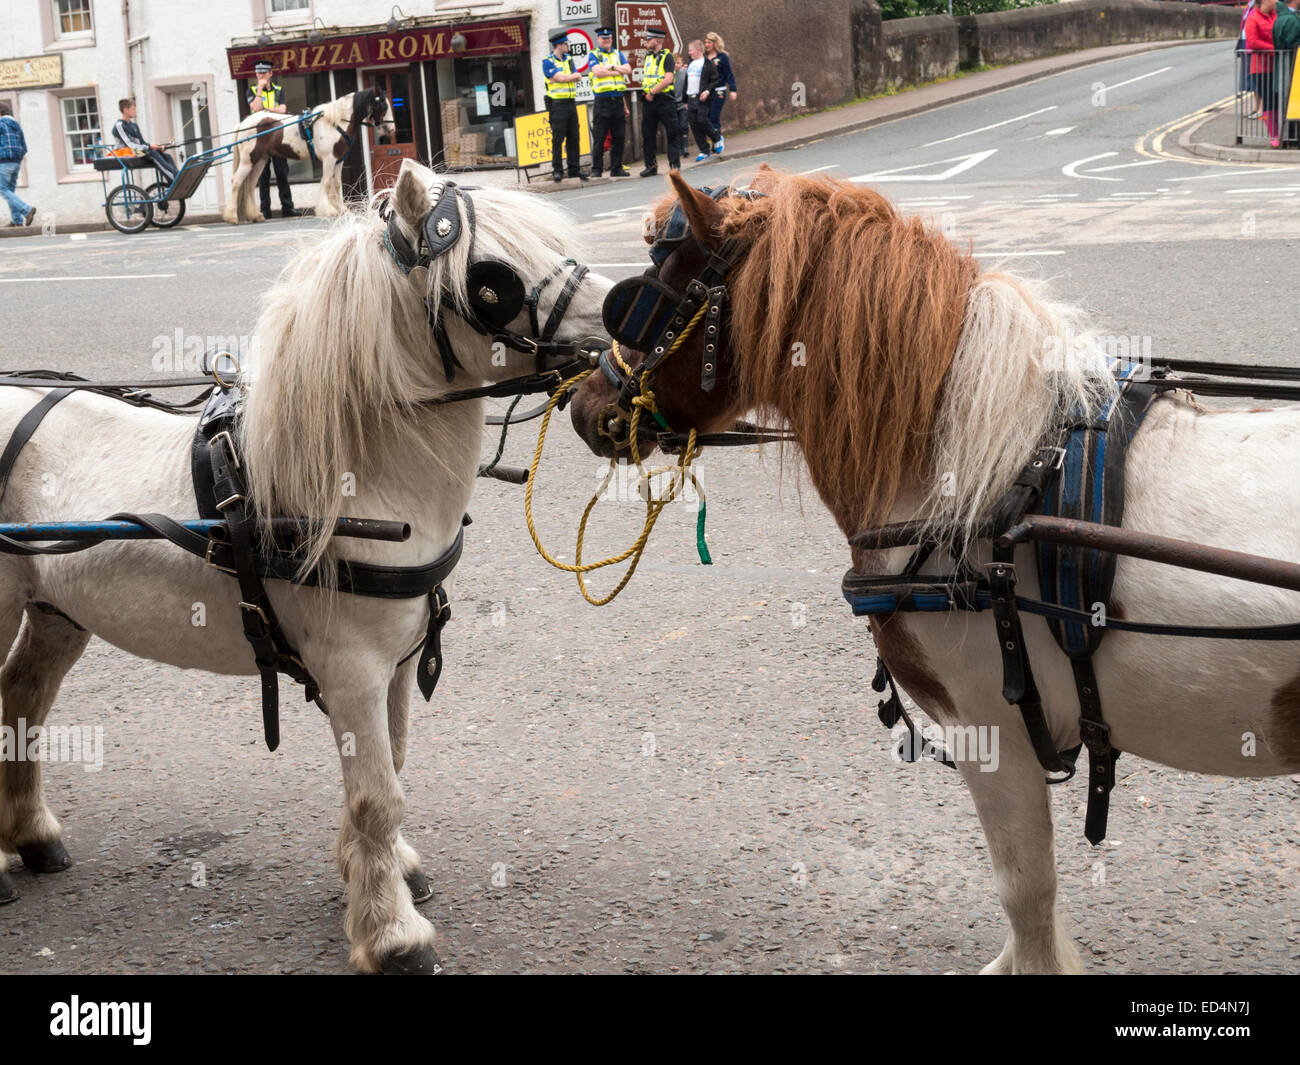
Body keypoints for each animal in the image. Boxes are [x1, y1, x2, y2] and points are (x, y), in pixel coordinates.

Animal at [0, 158, 611, 974]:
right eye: (492, 278)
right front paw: (391, 933)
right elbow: (379, 795)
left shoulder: (394, 664)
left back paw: (32, 834)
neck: (357, 484)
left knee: (23, 697)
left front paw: (375, 872)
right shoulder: (351, 668)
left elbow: (393, 763)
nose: (623, 314)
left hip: (57, 609)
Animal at [222, 89, 395, 224]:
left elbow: (336, 184)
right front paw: (329, 210)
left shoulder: (338, 160)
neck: (335, 122)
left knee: (251, 184)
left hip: (260, 160)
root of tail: (243, 124)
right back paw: (232, 216)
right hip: (249, 160)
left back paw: (255, 215)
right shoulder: (328, 159)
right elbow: (327, 182)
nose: (392, 130)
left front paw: (341, 209)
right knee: (236, 181)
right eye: (384, 106)